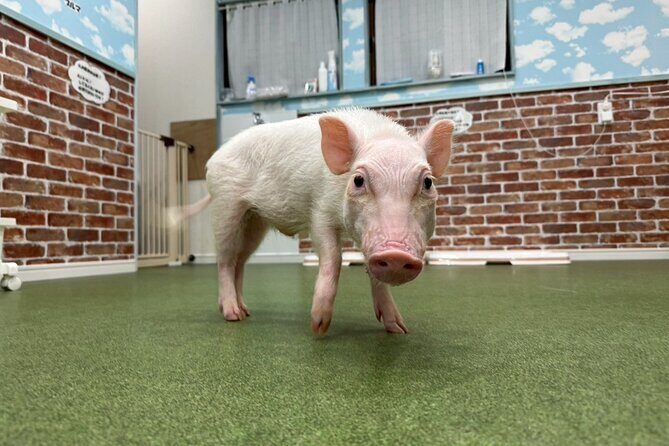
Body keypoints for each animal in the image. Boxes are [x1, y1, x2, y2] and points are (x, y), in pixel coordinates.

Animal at [196, 109, 454, 335]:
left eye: (428, 182)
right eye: (358, 180)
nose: (396, 255)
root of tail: (213, 160)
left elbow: (375, 276)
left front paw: (399, 330)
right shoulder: (319, 213)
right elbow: (333, 258)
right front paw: (318, 326)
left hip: (255, 222)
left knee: (240, 262)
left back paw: (245, 311)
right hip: (226, 207)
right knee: (225, 260)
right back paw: (232, 315)